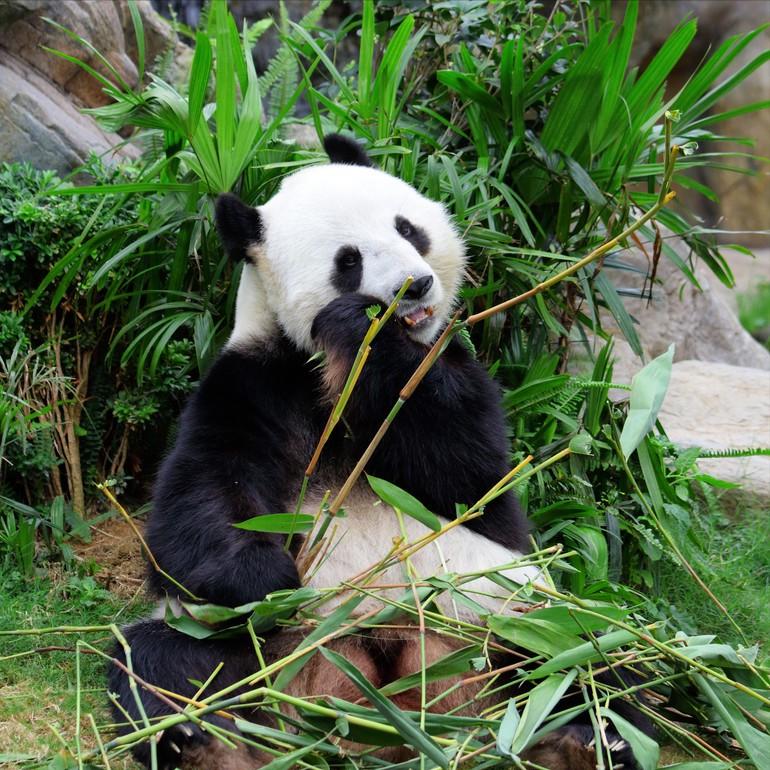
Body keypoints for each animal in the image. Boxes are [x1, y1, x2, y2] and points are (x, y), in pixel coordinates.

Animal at [108, 134, 649, 770]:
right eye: (348, 261)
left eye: (407, 228)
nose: (414, 285)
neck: (326, 372)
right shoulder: (252, 382)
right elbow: (203, 497)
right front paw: (265, 574)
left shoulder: (450, 366)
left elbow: (471, 475)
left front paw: (364, 332)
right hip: (260, 642)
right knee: (167, 663)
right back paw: (202, 740)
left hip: (507, 615)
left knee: (598, 658)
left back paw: (587, 740)